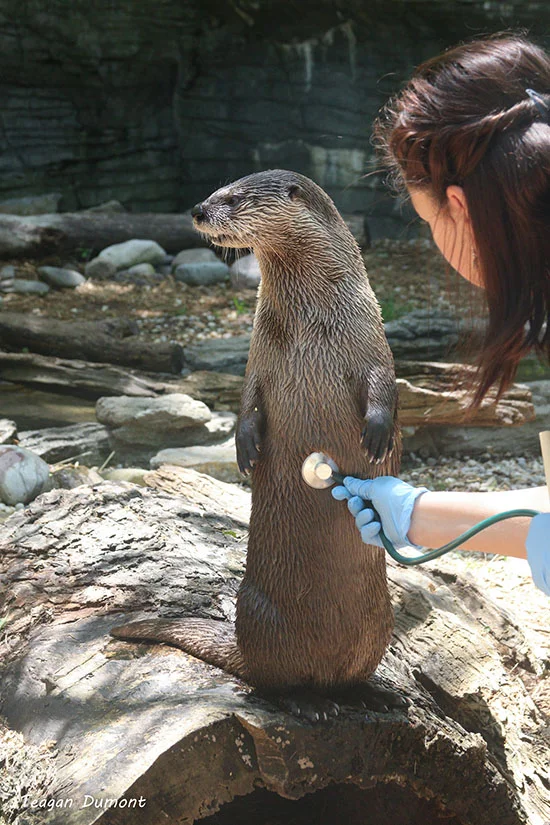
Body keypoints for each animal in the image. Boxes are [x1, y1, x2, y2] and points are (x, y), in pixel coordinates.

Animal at [111, 170, 403, 720]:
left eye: (233, 196)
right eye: (216, 191)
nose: (198, 209)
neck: (312, 324)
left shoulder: (371, 336)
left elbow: (384, 384)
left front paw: (378, 434)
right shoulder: (258, 353)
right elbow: (246, 402)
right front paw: (246, 451)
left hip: (381, 618)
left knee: (350, 675)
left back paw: (372, 693)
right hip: (263, 616)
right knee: (274, 681)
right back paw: (310, 703)